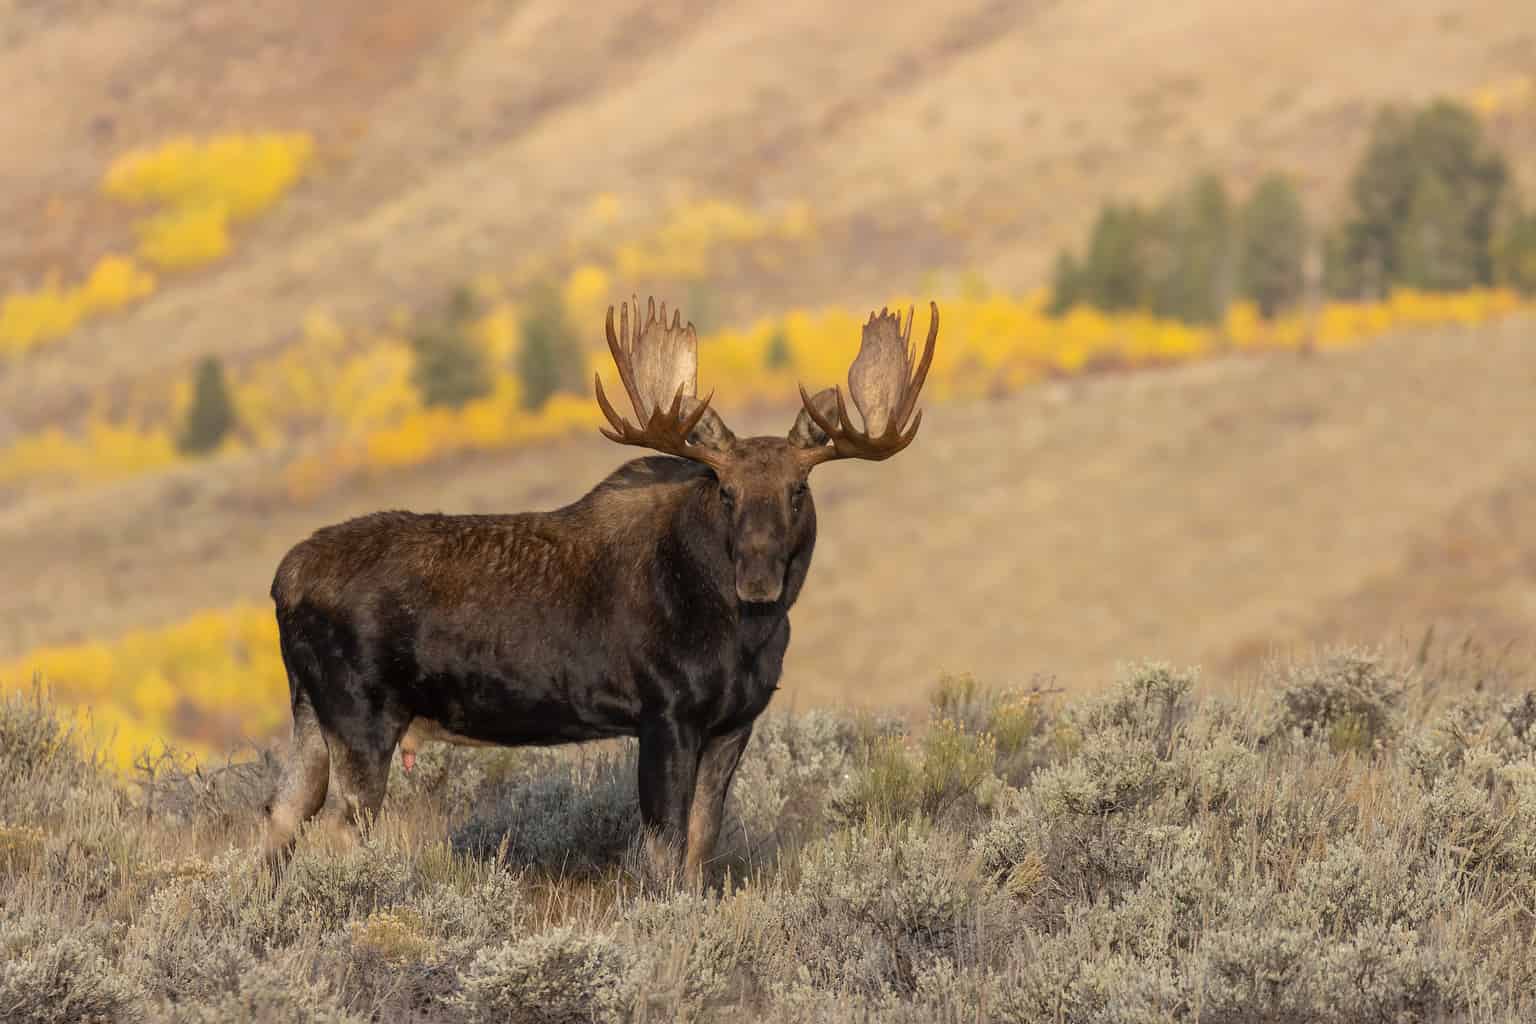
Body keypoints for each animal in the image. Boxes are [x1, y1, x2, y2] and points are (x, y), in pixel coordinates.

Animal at [261, 295, 939, 883]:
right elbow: (665, 847)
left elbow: (702, 843)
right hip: (361, 712)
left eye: (798, 491)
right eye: (727, 491)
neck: (743, 635)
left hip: (310, 709)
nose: (758, 578)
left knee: (282, 813)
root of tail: (282, 580)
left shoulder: (735, 721)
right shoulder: (664, 712)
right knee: (338, 829)